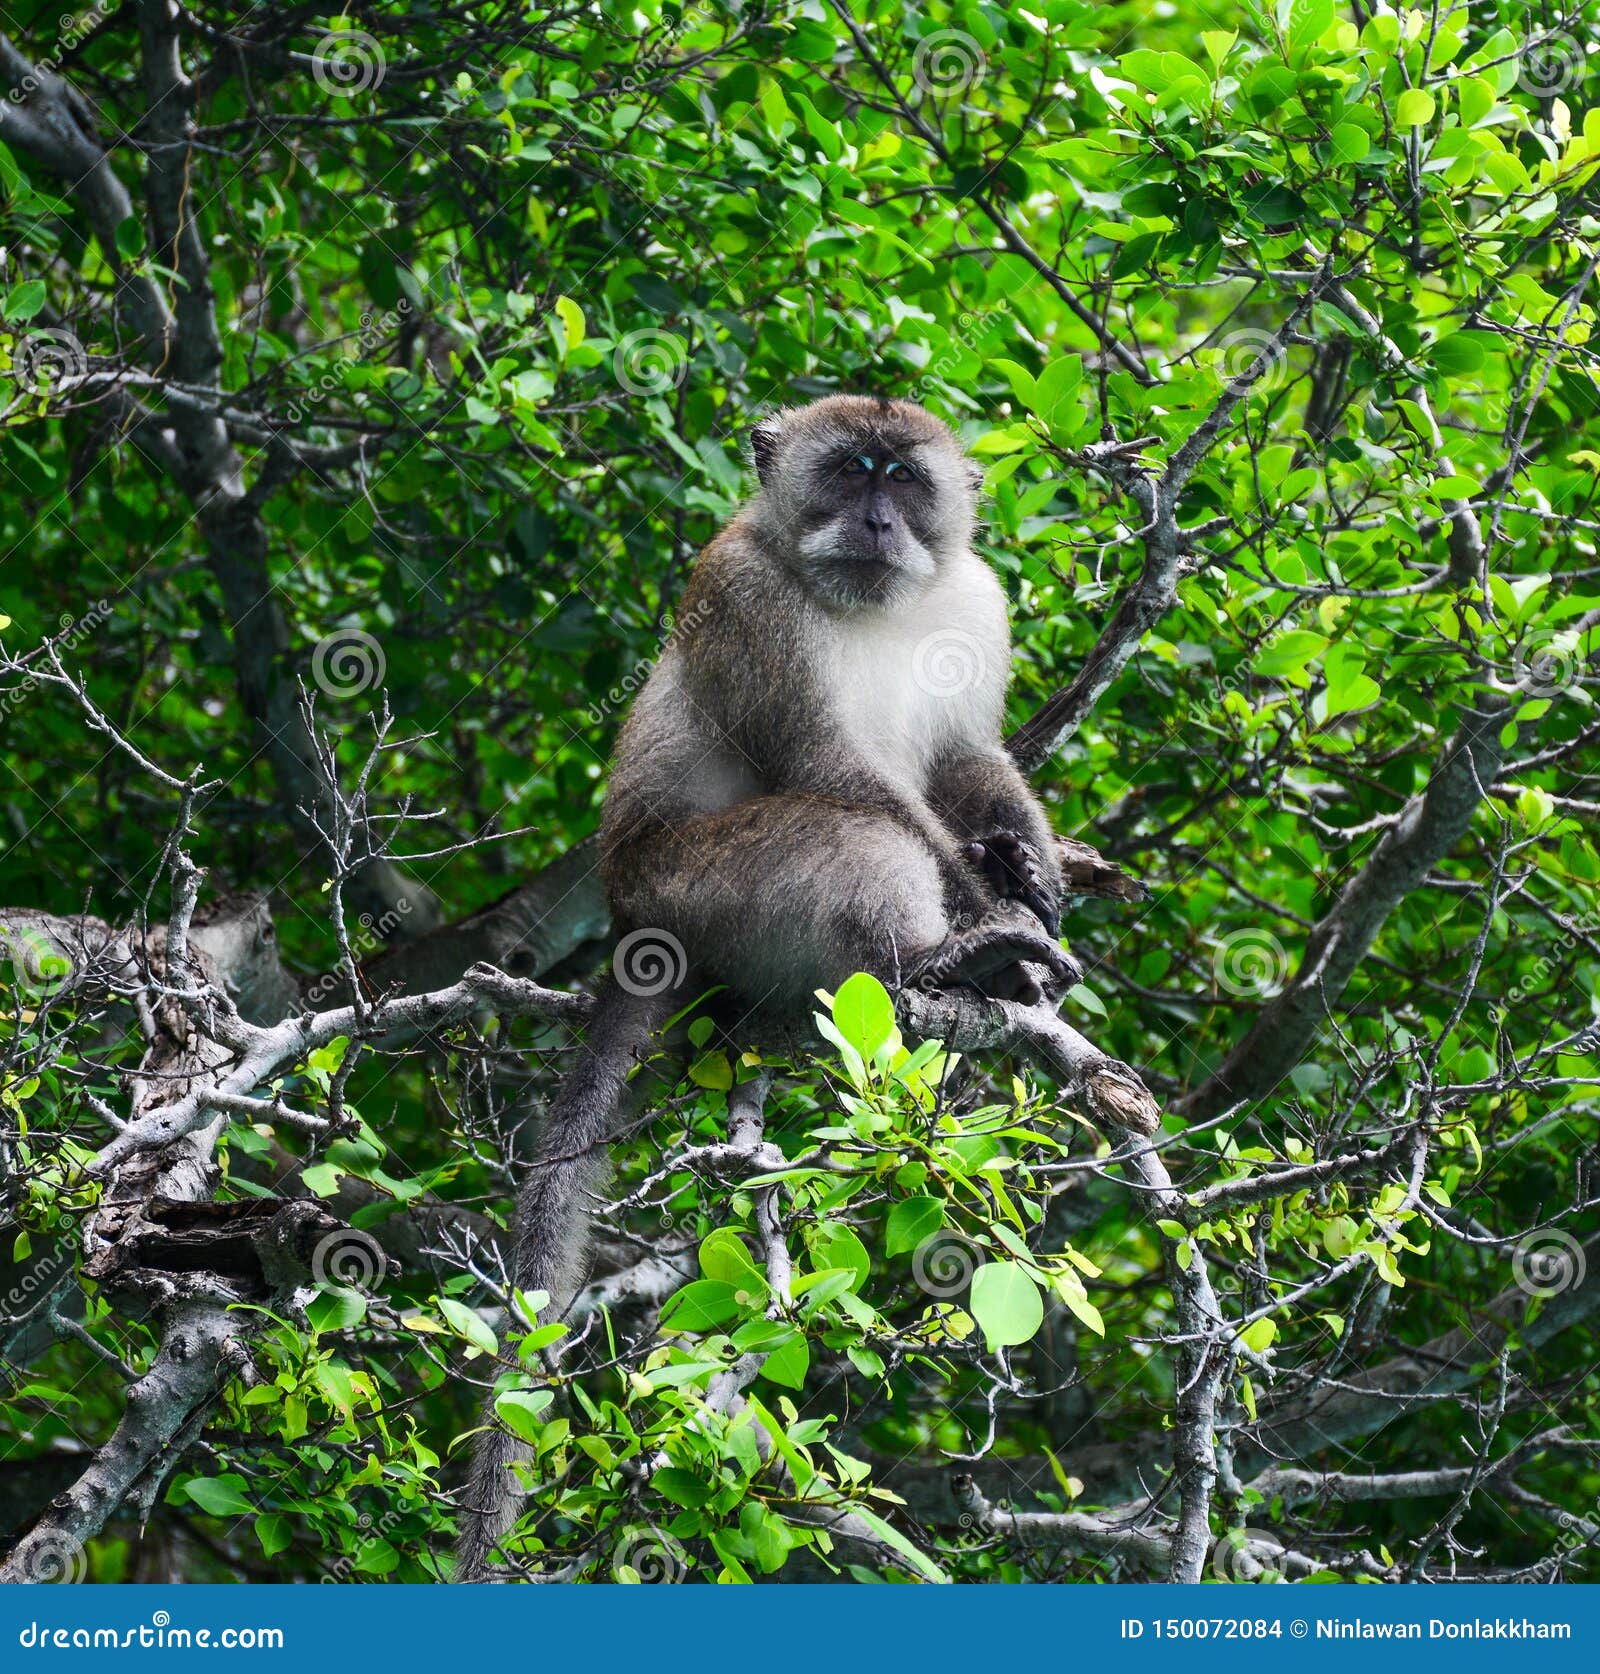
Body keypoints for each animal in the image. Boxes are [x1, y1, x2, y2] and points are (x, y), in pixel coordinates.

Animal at [456, 396, 1070, 1579]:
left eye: (905, 479)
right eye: (848, 469)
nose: (877, 521)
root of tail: (632, 917)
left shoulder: (975, 600)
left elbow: (964, 758)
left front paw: (1027, 859)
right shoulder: (743, 594)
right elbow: (844, 774)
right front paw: (995, 922)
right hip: (702, 886)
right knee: (858, 842)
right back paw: (939, 960)